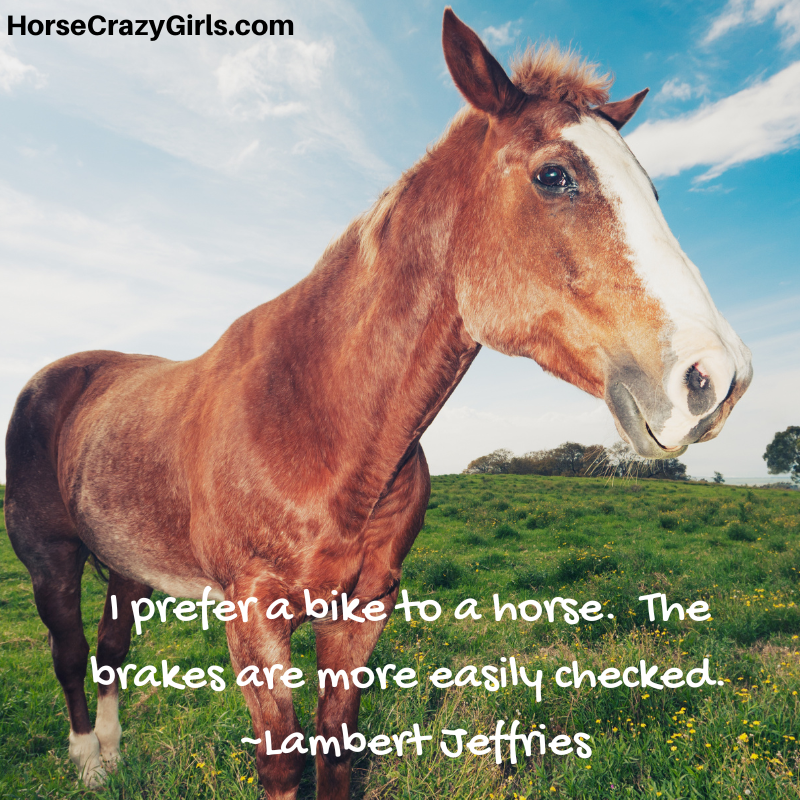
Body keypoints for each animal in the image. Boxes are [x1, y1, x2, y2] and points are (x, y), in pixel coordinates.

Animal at [4, 9, 752, 800]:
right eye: (555, 176)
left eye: (654, 192)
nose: (716, 376)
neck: (319, 419)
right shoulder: (255, 615)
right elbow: (282, 759)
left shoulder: (363, 609)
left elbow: (335, 747)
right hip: (53, 559)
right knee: (70, 652)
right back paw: (89, 762)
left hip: (126, 563)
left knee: (111, 649)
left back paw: (114, 757)